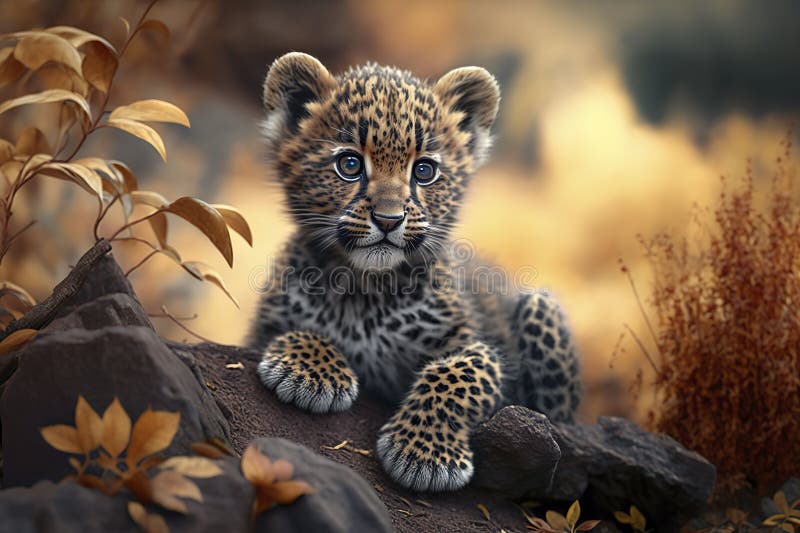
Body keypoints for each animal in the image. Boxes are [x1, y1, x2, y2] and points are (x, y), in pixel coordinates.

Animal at [247, 52, 581, 492]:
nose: (389, 220)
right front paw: (308, 371)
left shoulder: (474, 342)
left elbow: (462, 372)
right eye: (350, 165)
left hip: (541, 308)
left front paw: (423, 453)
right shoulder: (262, 325)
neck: (365, 289)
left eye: (424, 171)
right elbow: (296, 327)